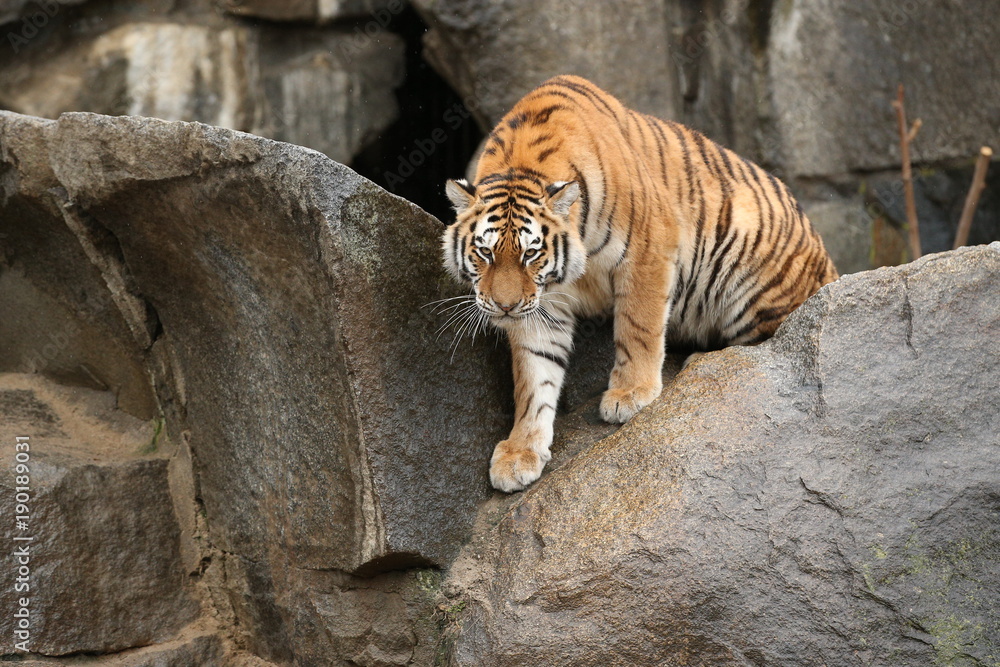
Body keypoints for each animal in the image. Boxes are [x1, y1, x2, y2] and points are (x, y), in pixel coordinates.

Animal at [441, 75, 838, 493]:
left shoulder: (649, 248)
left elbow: (637, 326)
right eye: (485, 253)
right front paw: (520, 452)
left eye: (530, 254)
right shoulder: (542, 302)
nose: (505, 306)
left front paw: (630, 394)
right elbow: (534, 375)